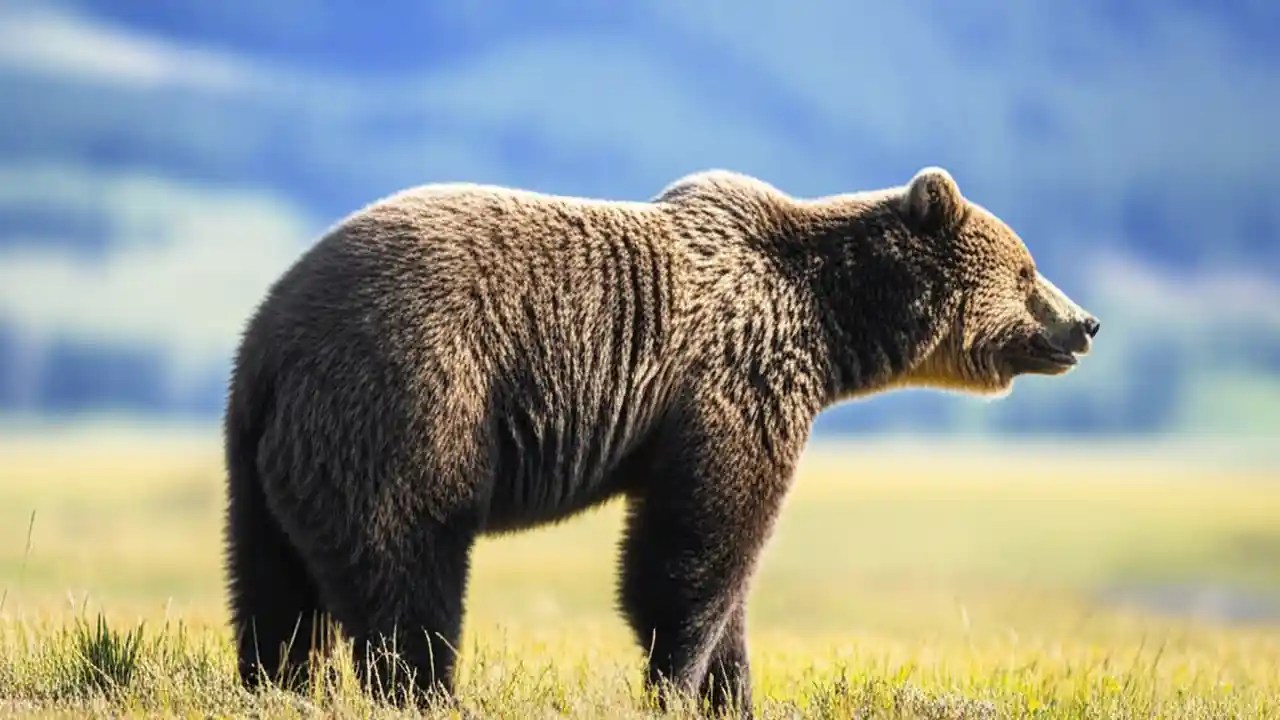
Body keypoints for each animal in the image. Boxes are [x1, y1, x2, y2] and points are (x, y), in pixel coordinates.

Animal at [224, 167, 1098, 715]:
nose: (1085, 323)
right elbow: (695, 547)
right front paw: (678, 680)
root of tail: (272, 340)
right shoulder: (736, 384)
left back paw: (280, 685)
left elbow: (722, 568)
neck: (831, 326)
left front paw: (734, 689)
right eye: (1027, 270)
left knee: (271, 582)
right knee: (407, 560)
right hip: (409, 398)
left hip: (267, 455)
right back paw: (429, 691)